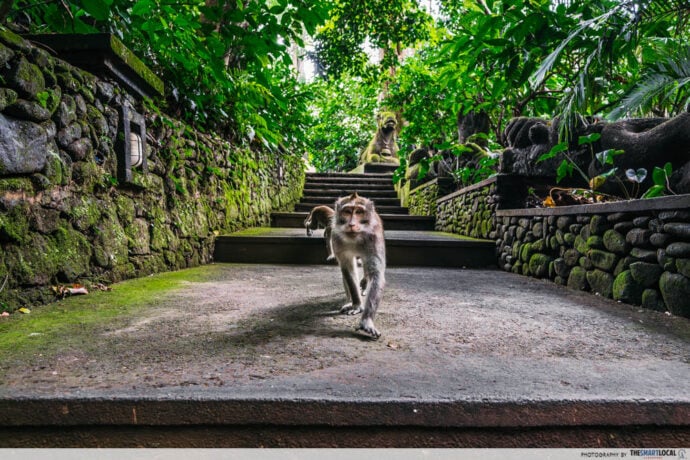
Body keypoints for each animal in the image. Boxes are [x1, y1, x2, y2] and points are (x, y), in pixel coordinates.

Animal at [330, 192, 386, 338]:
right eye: (347, 211)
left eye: (359, 212)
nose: (351, 224)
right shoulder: (336, 238)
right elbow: (347, 269)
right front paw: (356, 305)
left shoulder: (374, 238)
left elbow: (376, 273)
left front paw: (367, 320)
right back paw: (349, 300)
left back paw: (365, 285)